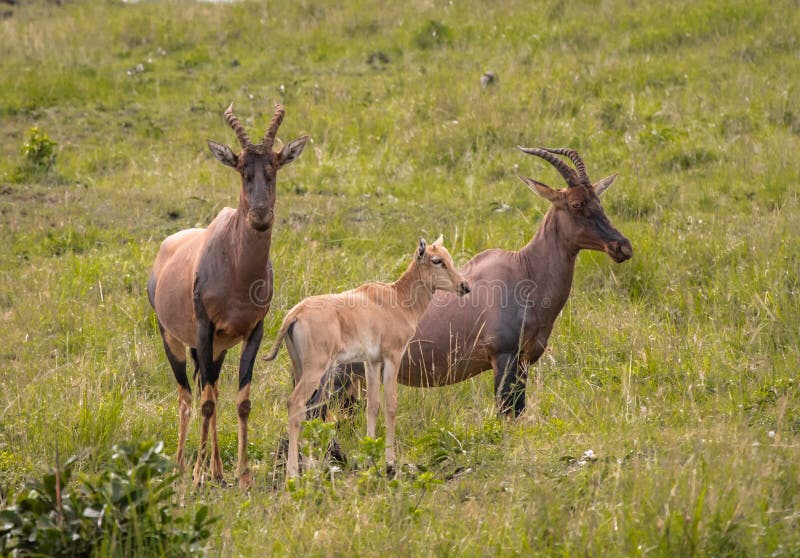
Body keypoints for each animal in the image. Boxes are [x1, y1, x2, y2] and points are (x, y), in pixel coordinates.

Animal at [147, 103, 308, 488]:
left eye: (273, 168)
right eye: (241, 170)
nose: (261, 216)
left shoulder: (254, 332)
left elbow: (241, 401)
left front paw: (243, 476)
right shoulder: (204, 329)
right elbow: (205, 403)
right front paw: (197, 476)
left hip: (217, 348)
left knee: (213, 389)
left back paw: (217, 470)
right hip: (175, 339)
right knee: (188, 396)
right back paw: (183, 467)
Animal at [263, 237, 471, 478]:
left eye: (449, 257)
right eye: (437, 260)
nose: (465, 286)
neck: (396, 299)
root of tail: (295, 314)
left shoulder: (371, 362)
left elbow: (372, 405)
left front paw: (370, 456)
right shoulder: (392, 357)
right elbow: (391, 405)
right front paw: (390, 462)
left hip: (299, 368)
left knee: (308, 409)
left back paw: (310, 467)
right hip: (316, 369)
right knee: (295, 403)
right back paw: (293, 472)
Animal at [316, 147, 632, 418]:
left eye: (599, 201)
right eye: (577, 203)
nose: (622, 247)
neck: (524, 270)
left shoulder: (523, 361)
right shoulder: (504, 358)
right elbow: (508, 414)